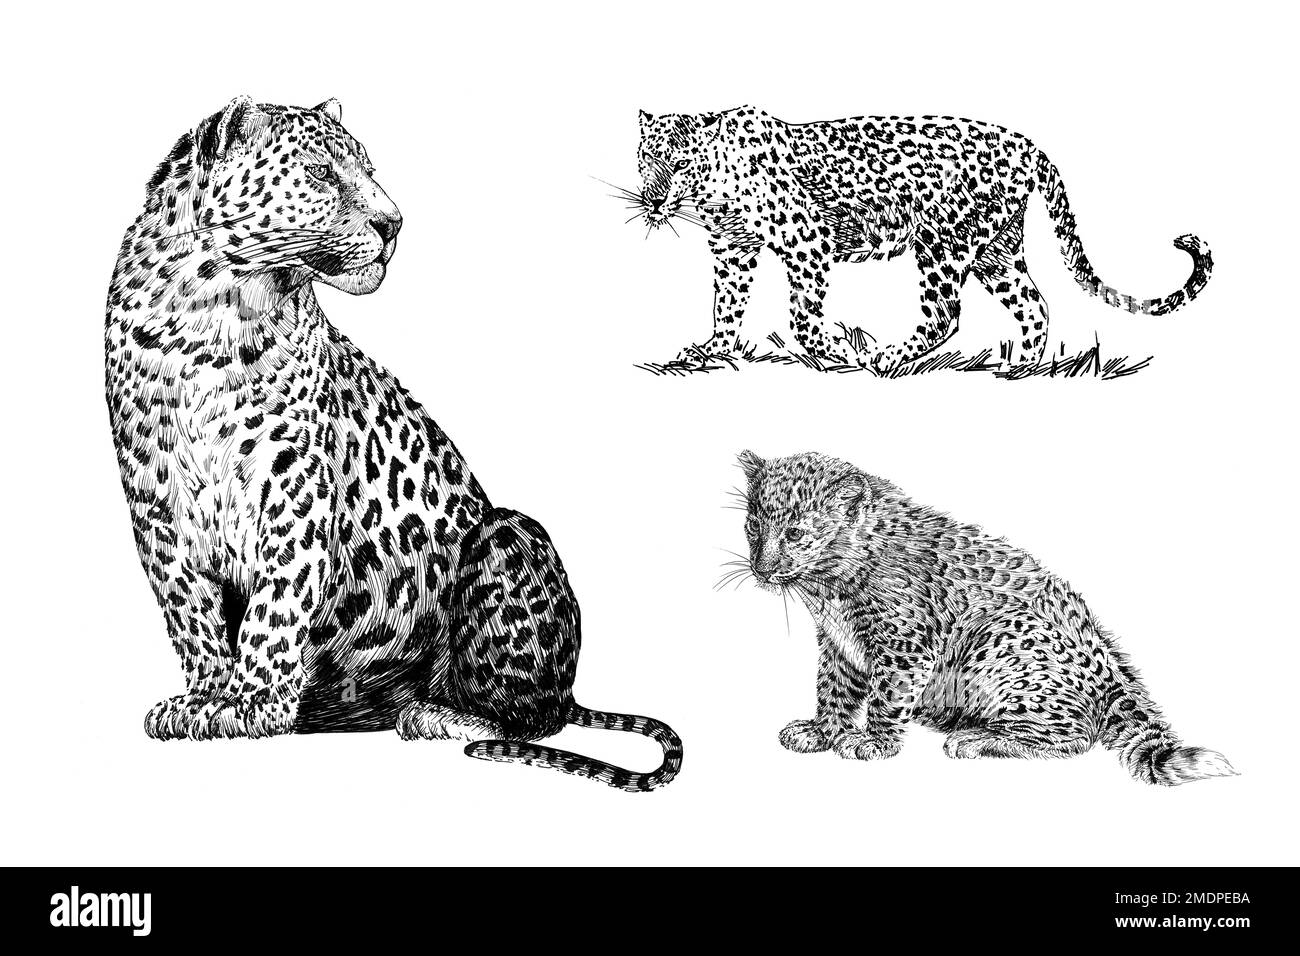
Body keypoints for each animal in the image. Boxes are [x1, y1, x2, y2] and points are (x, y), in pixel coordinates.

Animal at [103, 96, 682, 791]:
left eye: (369, 172)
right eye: (321, 174)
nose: (394, 222)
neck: (213, 311)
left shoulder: (292, 492)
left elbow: (274, 609)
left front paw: (253, 705)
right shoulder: (155, 507)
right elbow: (190, 613)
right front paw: (205, 698)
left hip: (510, 534)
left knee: (532, 716)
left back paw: (441, 715)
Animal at [634, 107, 1213, 372]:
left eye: (680, 165)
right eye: (645, 162)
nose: (653, 201)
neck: (715, 193)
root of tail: (1029, 146)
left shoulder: (807, 242)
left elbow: (802, 314)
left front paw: (834, 351)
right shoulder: (732, 252)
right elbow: (726, 307)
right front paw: (708, 353)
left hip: (943, 241)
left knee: (946, 314)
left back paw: (888, 357)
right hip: (996, 248)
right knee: (1034, 304)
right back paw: (1019, 368)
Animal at [733, 450, 1235, 786]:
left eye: (795, 533)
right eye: (753, 526)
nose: (761, 567)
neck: (829, 585)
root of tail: (1113, 673)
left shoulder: (906, 647)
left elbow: (885, 697)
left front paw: (873, 742)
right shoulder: (840, 644)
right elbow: (833, 689)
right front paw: (822, 731)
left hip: (1002, 643)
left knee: (1074, 736)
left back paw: (976, 739)